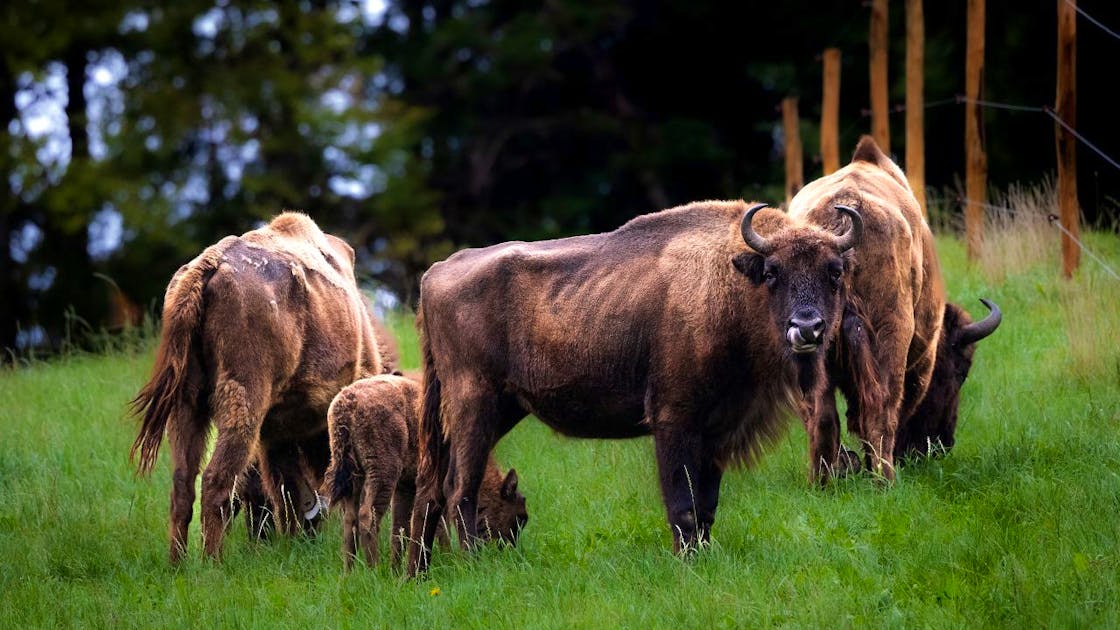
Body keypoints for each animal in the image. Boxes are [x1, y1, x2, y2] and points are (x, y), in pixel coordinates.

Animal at [131, 213, 387, 562]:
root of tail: (208, 265)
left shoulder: (277, 435)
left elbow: (288, 493)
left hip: (187, 406)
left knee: (183, 484)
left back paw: (177, 564)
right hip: (243, 400)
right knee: (216, 480)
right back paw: (213, 563)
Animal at [406, 200, 863, 575]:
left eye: (834, 272)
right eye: (772, 273)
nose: (807, 327)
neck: (727, 283)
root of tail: (434, 274)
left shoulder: (716, 430)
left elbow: (707, 505)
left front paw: (704, 554)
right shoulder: (674, 421)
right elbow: (683, 502)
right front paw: (686, 562)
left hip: (490, 410)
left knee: (431, 487)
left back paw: (418, 574)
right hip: (475, 404)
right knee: (459, 487)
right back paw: (471, 562)